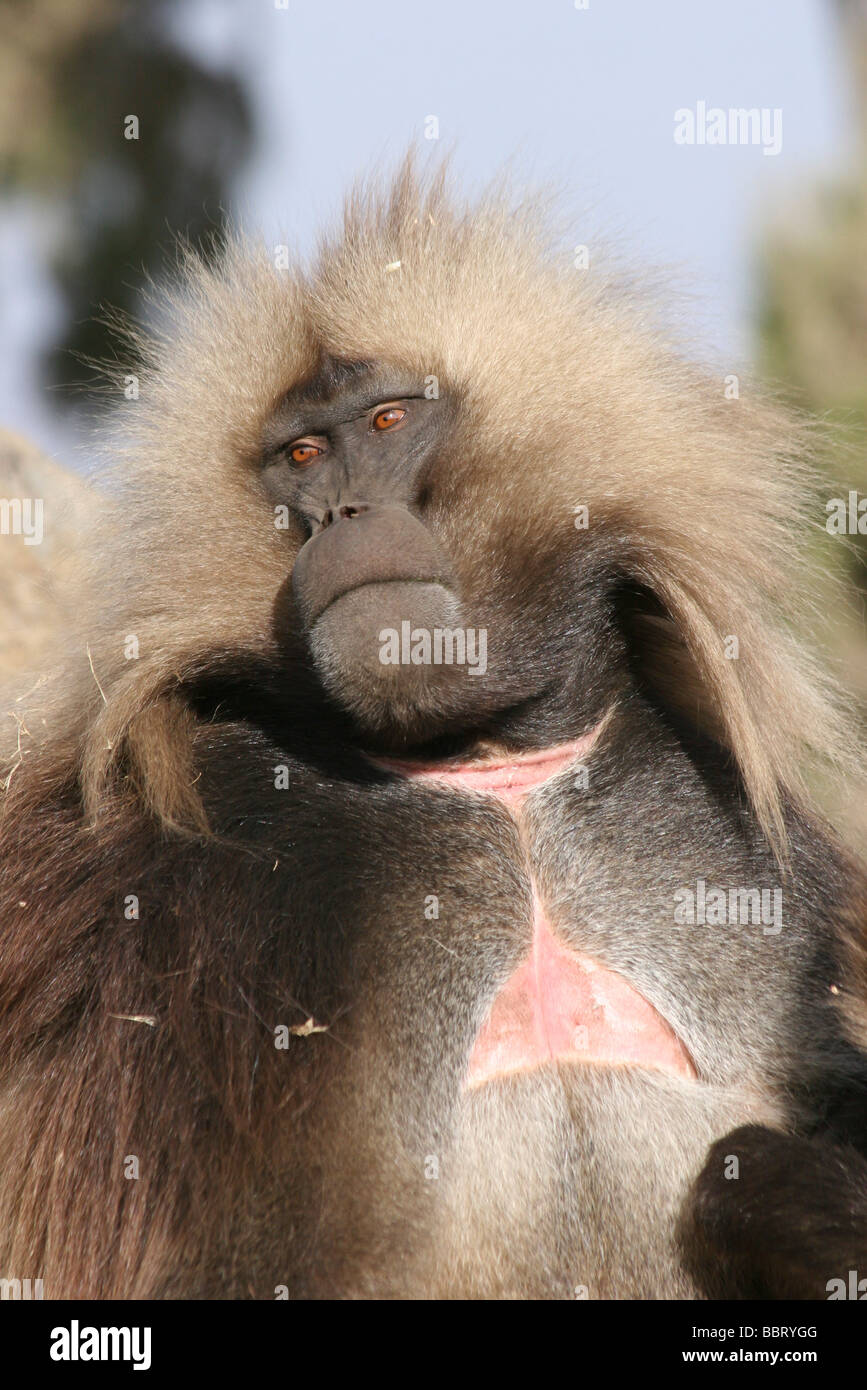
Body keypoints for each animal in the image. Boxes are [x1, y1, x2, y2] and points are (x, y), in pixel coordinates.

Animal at [0, 157, 866, 1300]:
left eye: (384, 425)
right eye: (300, 456)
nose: (340, 521)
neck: (491, 774)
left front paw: (780, 1198)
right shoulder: (133, 882)